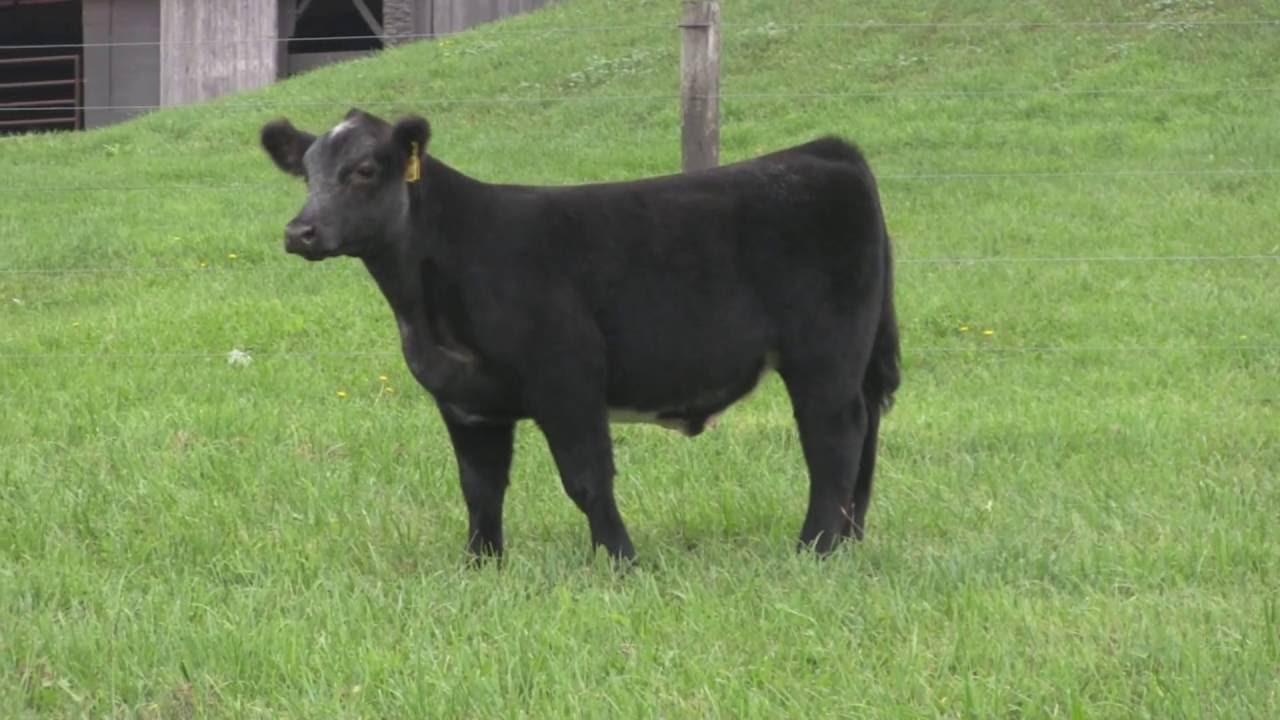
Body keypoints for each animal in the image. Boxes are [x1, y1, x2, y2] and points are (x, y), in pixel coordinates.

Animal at [260, 108, 900, 562]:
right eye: (308, 173)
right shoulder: (465, 401)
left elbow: (587, 480)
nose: (300, 231)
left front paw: (620, 560)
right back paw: (849, 539)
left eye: (365, 170)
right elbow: (480, 486)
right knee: (865, 434)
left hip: (823, 355)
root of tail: (823, 152)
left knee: (834, 439)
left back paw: (815, 548)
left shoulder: (567, 380)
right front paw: (481, 564)